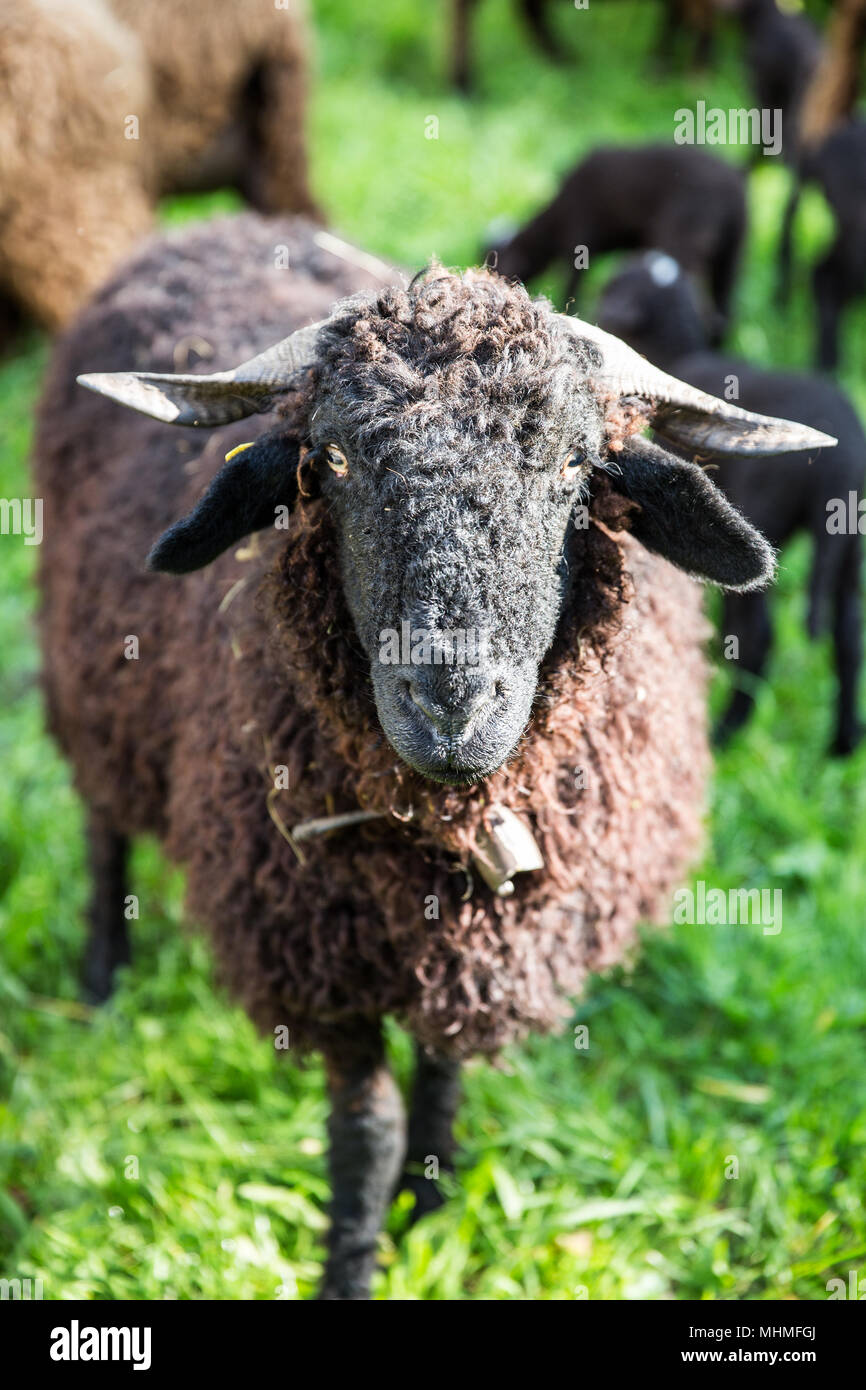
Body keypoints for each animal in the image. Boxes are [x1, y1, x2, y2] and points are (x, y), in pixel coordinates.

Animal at [34, 213, 831, 1300]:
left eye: (574, 465)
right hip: (90, 683)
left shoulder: (481, 944)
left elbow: (444, 1073)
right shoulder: (323, 963)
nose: (450, 707)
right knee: (103, 823)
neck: (451, 826)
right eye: (328, 460)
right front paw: (353, 1261)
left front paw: (431, 1200)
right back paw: (102, 978)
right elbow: (363, 1132)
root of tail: (223, 225)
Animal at [487, 144, 747, 337]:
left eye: (502, 266)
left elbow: (572, 284)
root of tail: (731, 187)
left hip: (685, 237)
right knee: (725, 311)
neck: (553, 222)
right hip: (732, 252)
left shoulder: (579, 240)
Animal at [597, 251, 863, 752]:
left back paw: (727, 729)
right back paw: (842, 743)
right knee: (848, 633)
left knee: (759, 630)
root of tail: (843, 467)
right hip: (852, 546)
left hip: (766, 512)